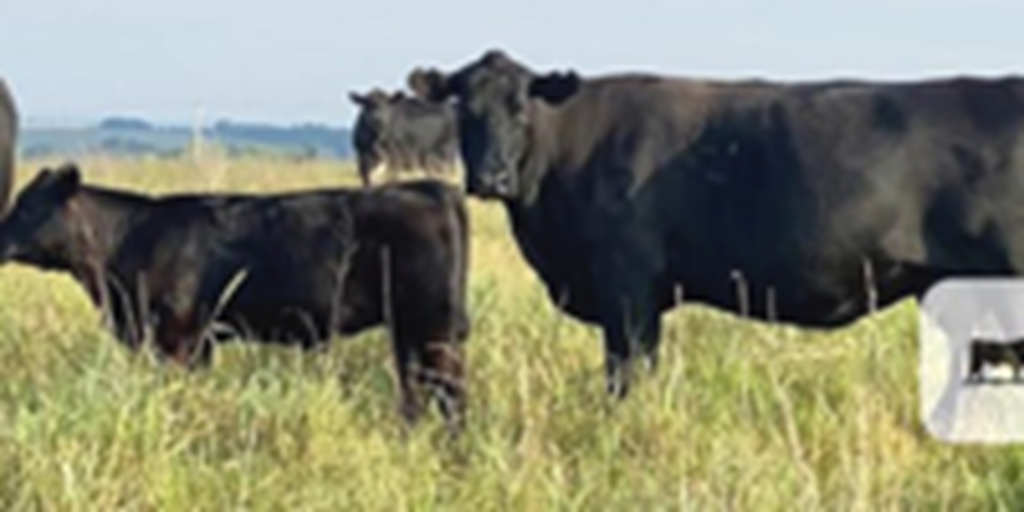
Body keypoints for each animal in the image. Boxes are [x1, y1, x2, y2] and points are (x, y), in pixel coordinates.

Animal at [0, 164, 471, 431]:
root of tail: (433, 188)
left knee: (451, 394)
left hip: (435, 327)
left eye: (27, 207)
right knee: (416, 389)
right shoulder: (199, 342)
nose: (0, 238)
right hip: (408, 329)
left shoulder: (177, 338)